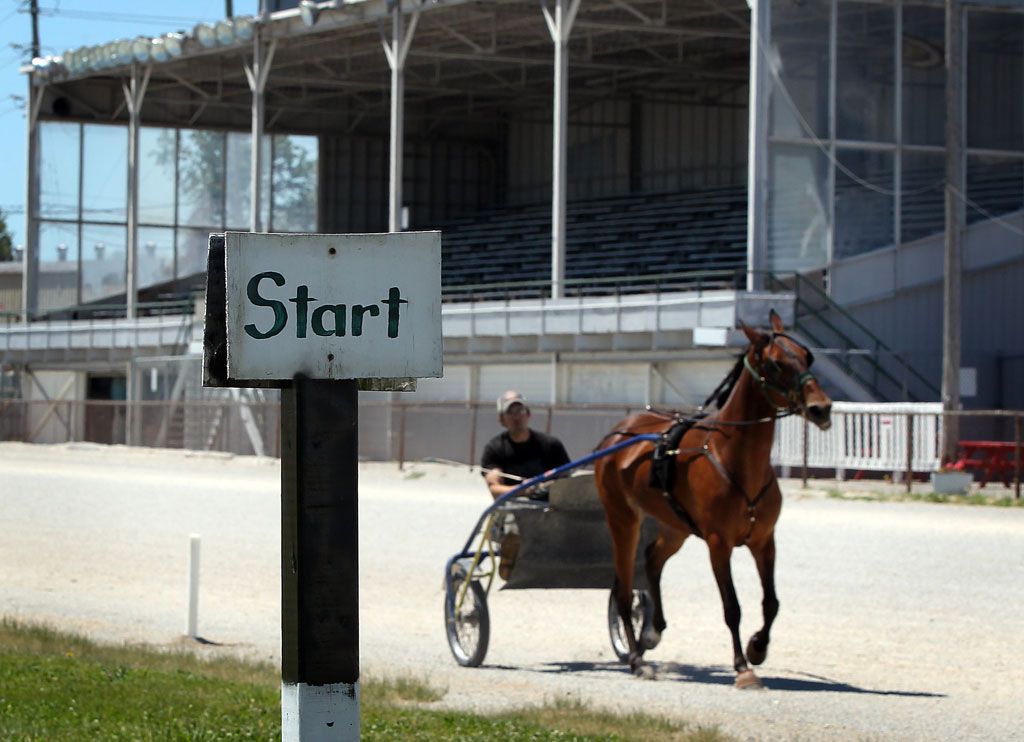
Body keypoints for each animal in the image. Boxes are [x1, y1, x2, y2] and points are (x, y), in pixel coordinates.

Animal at [594, 309, 832, 689]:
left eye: (807, 356)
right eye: (777, 364)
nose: (821, 408)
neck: (733, 456)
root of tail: (616, 435)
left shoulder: (764, 540)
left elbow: (771, 603)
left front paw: (757, 647)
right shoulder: (719, 543)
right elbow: (732, 606)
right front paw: (742, 666)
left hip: (675, 526)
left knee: (652, 559)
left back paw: (652, 632)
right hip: (622, 517)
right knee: (624, 589)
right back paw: (636, 659)